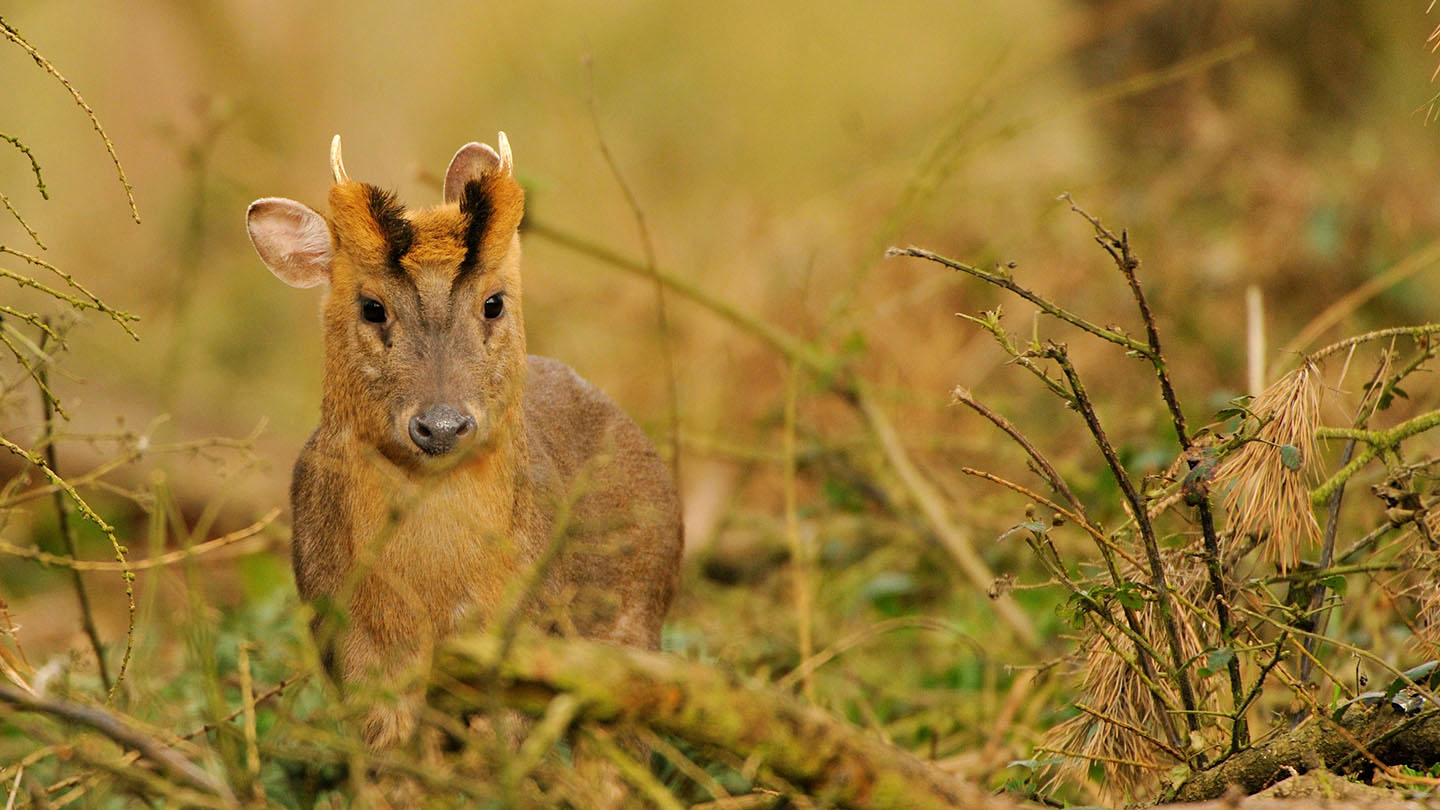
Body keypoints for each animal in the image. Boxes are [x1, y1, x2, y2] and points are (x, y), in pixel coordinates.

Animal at [245, 134, 683, 748]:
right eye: (372, 307)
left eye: (493, 301)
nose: (442, 425)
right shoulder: (352, 648)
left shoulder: (523, 632)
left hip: (633, 625)